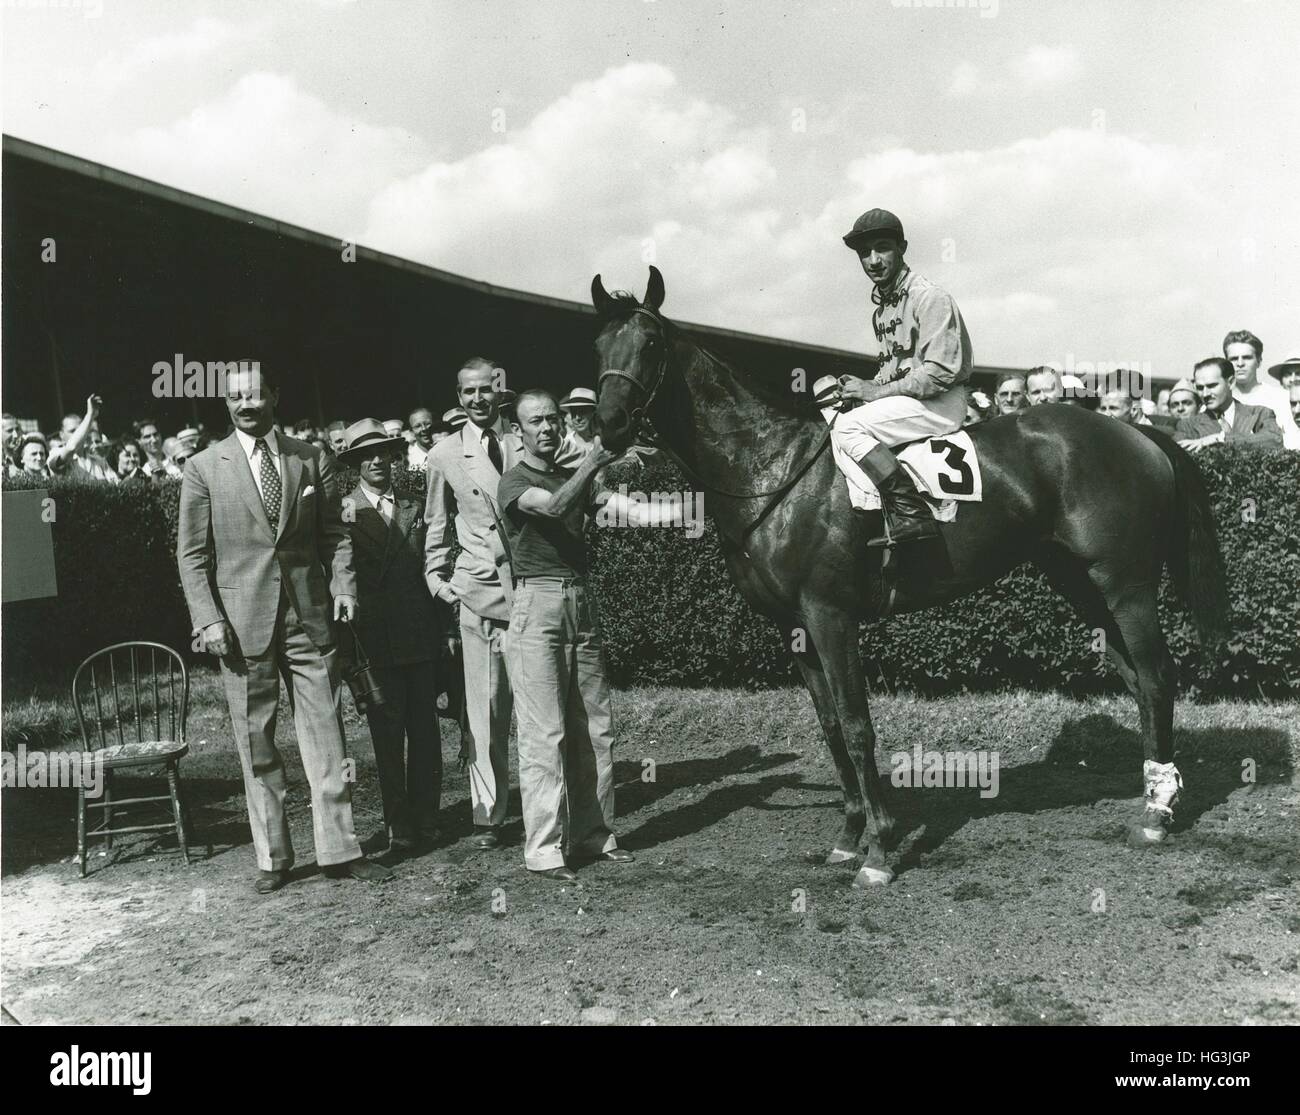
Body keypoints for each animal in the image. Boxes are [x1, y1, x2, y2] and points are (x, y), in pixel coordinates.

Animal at [590, 266, 1230, 887]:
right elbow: (829, 726)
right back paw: (1152, 790)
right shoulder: (793, 627)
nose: (609, 425)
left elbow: (856, 726)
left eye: (650, 343)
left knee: (1156, 676)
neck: (774, 469)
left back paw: (1156, 814)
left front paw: (878, 848)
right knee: (1136, 680)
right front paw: (848, 837)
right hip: (1079, 583)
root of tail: (1136, 433)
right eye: (599, 343)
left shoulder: (831, 615)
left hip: (1126, 584)